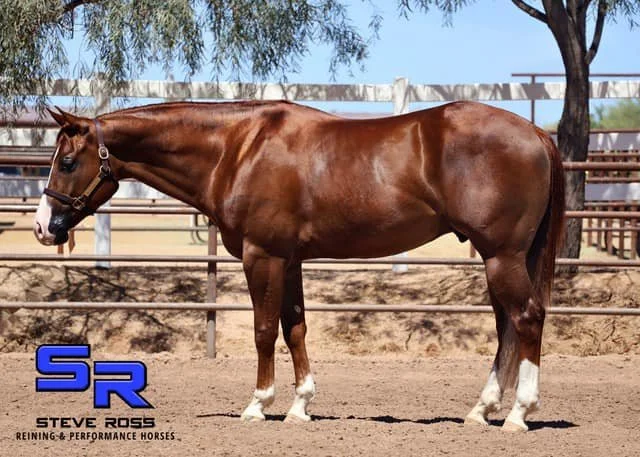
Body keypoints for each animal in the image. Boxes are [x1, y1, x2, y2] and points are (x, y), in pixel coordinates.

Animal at [34, 99, 564, 431]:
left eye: (66, 162)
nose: (43, 227)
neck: (237, 149)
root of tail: (537, 132)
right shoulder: (289, 262)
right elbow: (295, 329)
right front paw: (300, 406)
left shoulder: (262, 256)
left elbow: (264, 330)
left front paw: (258, 404)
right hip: (500, 260)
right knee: (507, 327)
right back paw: (481, 410)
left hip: (502, 257)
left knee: (526, 319)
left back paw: (518, 415)